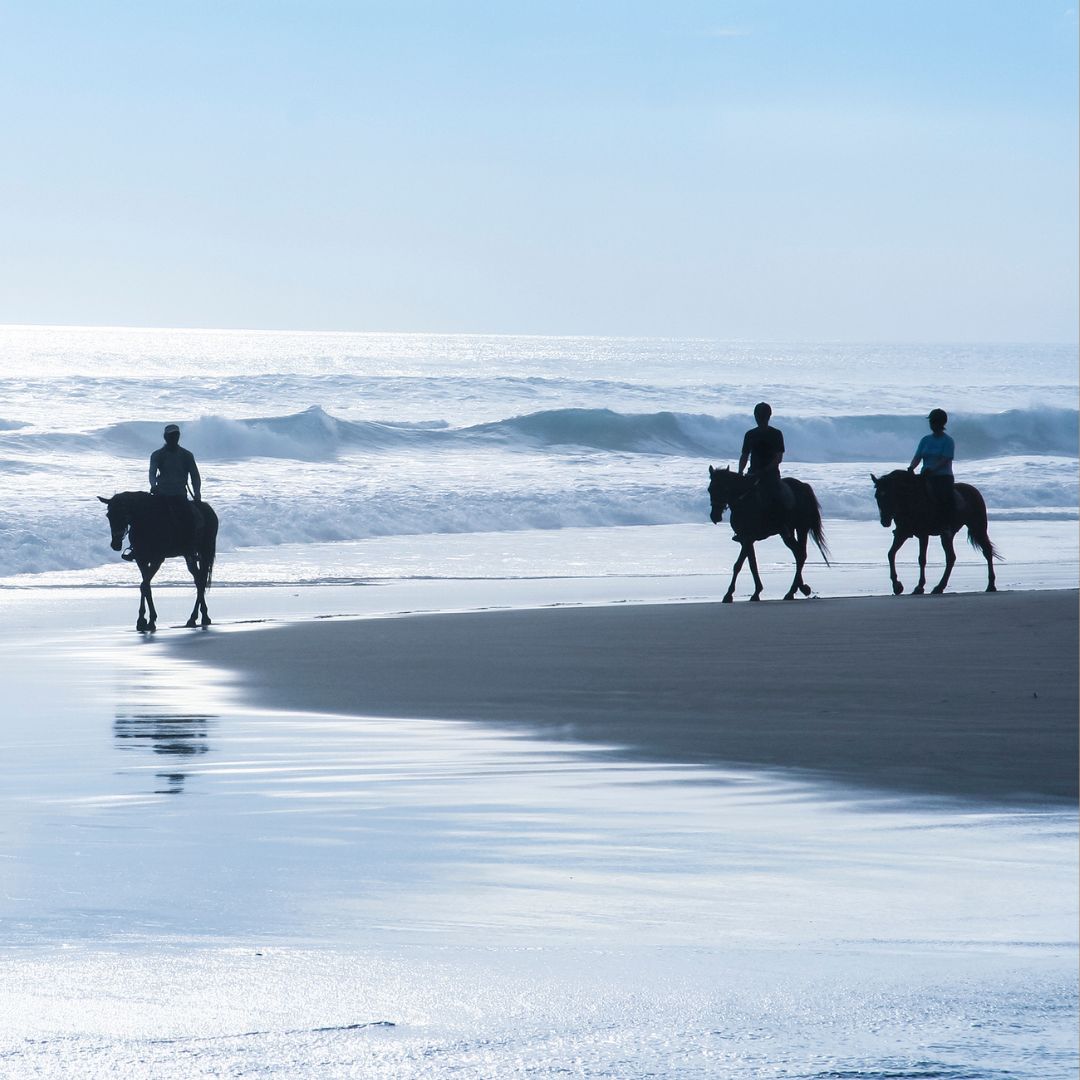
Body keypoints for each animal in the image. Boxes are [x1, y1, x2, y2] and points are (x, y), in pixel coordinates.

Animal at [98, 492, 219, 631]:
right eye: (109, 516)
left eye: (123, 515)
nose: (115, 544)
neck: (146, 522)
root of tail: (208, 508)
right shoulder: (141, 560)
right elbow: (146, 587)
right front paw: (143, 620)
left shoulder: (157, 559)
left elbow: (144, 586)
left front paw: (148, 621)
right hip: (189, 555)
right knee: (199, 580)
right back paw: (201, 616)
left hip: (205, 551)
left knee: (202, 580)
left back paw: (196, 617)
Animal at [708, 466, 830, 602]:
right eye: (710, 490)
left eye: (725, 489)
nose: (715, 516)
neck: (744, 501)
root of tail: (804, 486)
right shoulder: (745, 539)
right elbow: (752, 564)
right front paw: (756, 592)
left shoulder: (748, 538)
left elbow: (738, 565)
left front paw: (728, 594)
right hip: (788, 533)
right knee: (798, 554)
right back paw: (800, 588)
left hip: (801, 528)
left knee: (801, 554)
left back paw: (792, 591)